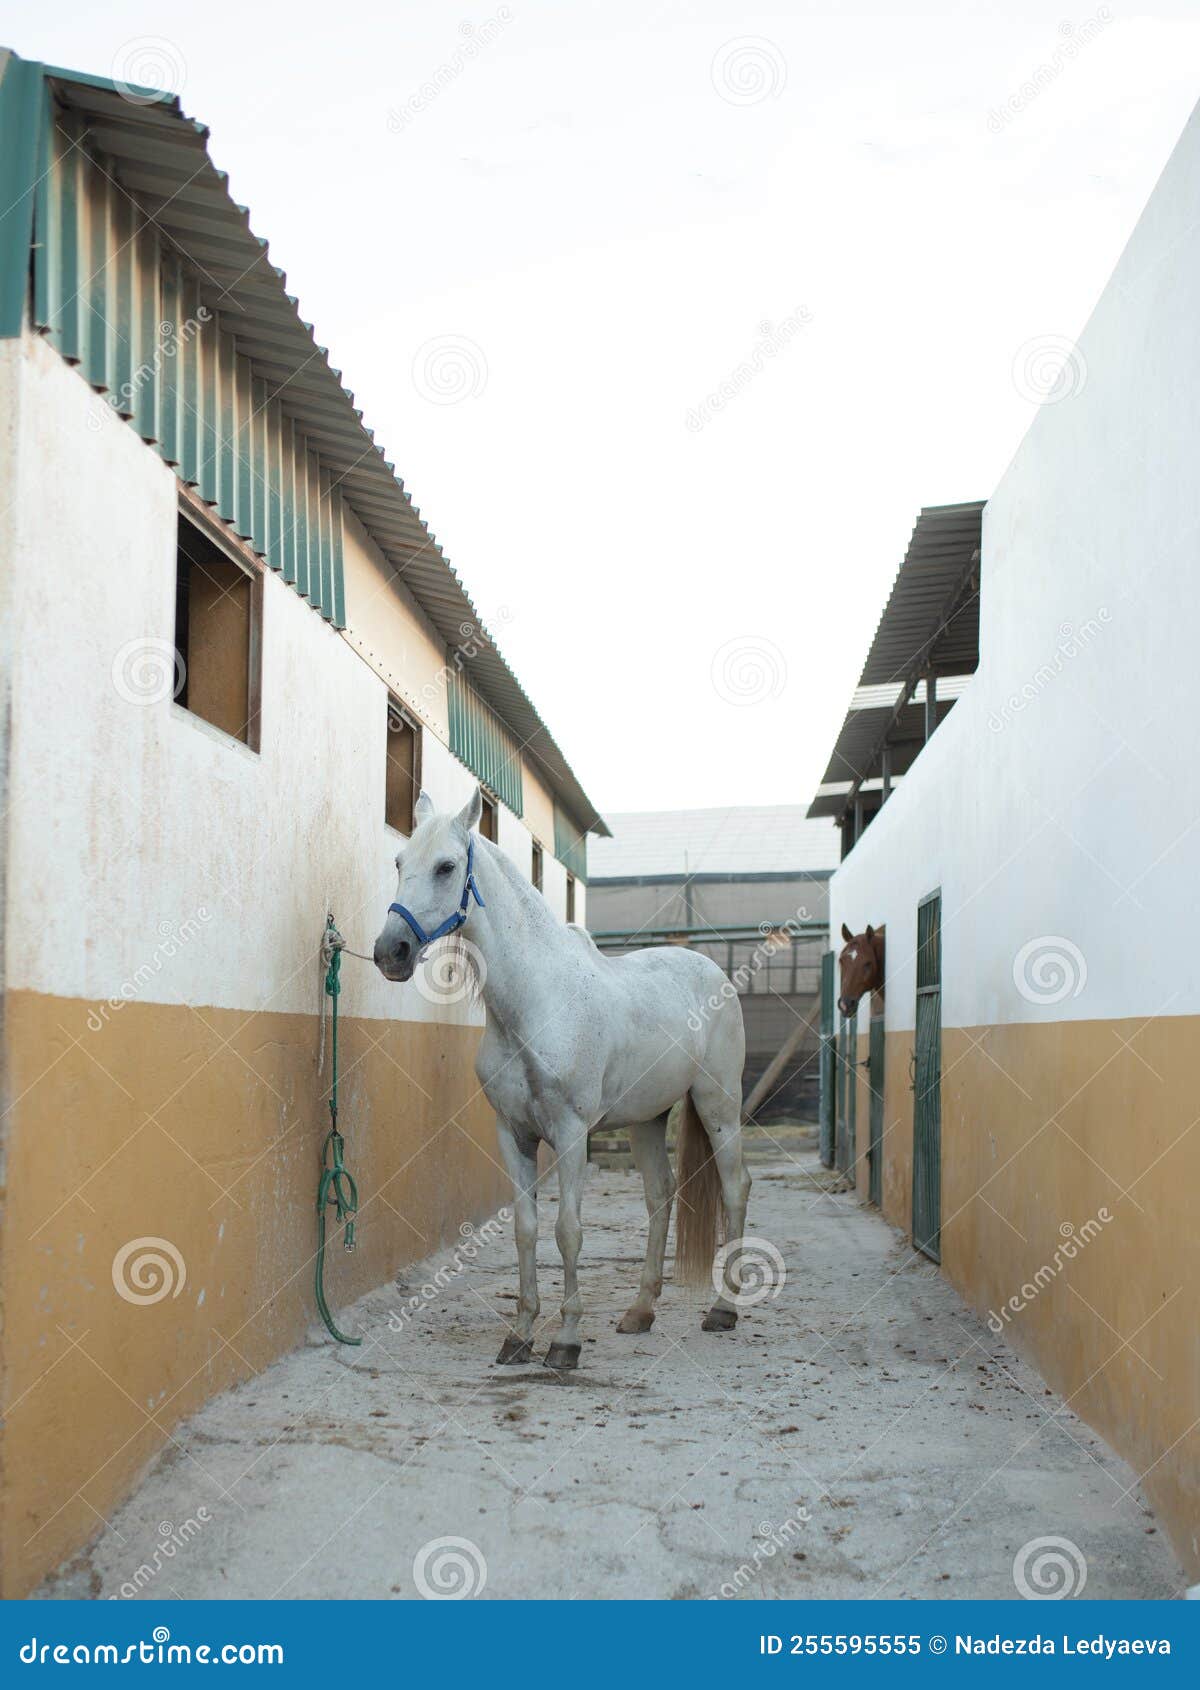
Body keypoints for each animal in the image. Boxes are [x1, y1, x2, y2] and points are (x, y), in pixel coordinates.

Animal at [373, 786, 751, 1370]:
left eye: (446, 866)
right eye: (398, 862)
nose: (391, 953)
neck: (537, 999)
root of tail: (712, 972)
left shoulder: (572, 1135)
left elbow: (568, 1231)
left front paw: (566, 1341)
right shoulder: (512, 1134)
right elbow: (526, 1230)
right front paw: (520, 1334)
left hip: (718, 1105)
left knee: (735, 1188)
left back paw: (724, 1310)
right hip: (647, 1119)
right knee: (659, 1196)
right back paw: (640, 1311)